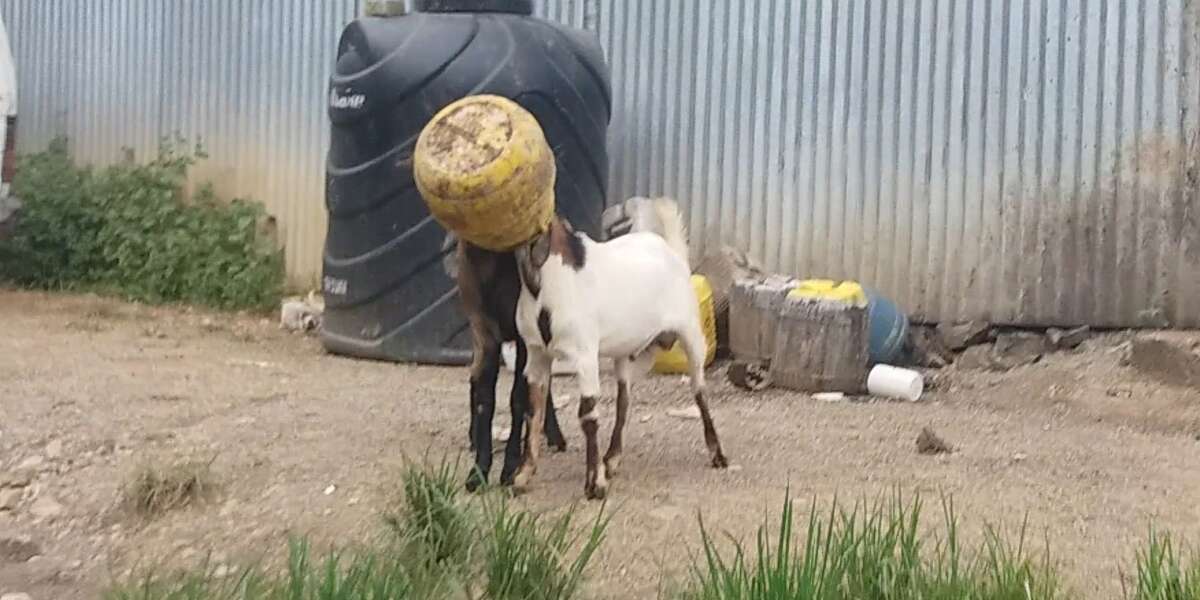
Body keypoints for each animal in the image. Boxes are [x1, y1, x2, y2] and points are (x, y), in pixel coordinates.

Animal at [454, 239, 568, 491]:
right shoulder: (483, 333)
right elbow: (484, 400)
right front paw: (478, 472)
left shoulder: (524, 338)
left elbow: (518, 398)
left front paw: (509, 468)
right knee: (473, 378)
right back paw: (473, 438)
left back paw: (555, 437)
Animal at [509, 197, 728, 499]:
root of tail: (670, 250)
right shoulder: (536, 356)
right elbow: (534, 411)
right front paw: (523, 475)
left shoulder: (585, 356)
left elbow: (588, 414)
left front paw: (595, 484)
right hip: (629, 352)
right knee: (625, 400)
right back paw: (612, 458)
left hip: (691, 336)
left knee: (700, 391)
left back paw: (717, 453)